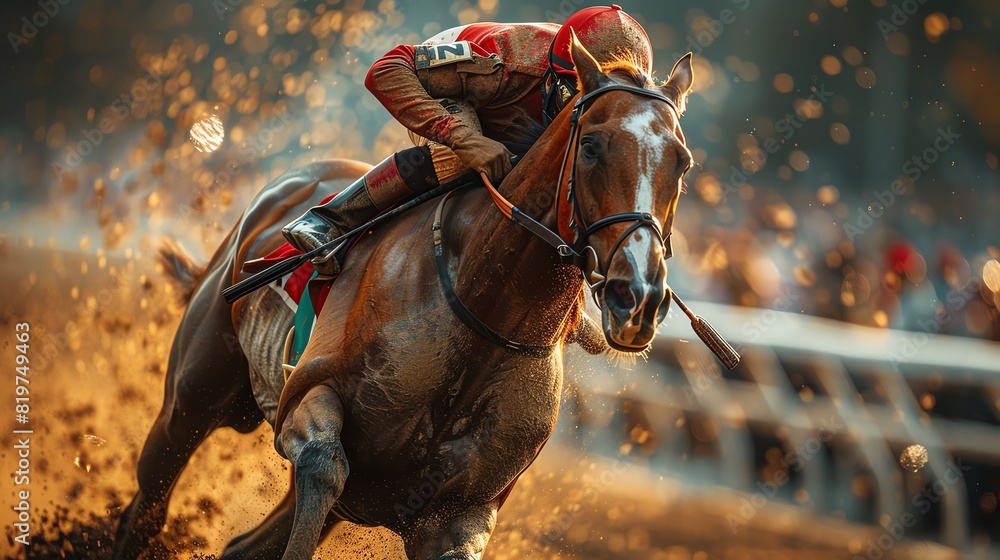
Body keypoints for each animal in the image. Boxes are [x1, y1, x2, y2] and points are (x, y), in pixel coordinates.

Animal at [113, 34, 693, 560]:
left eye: (682, 162)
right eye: (592, 146)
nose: (637, 296)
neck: (486, 315)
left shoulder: (457, 515)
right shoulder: (306, 400)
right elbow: (323, 463)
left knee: (240, 547)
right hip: (192, 395)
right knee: (144, 513)